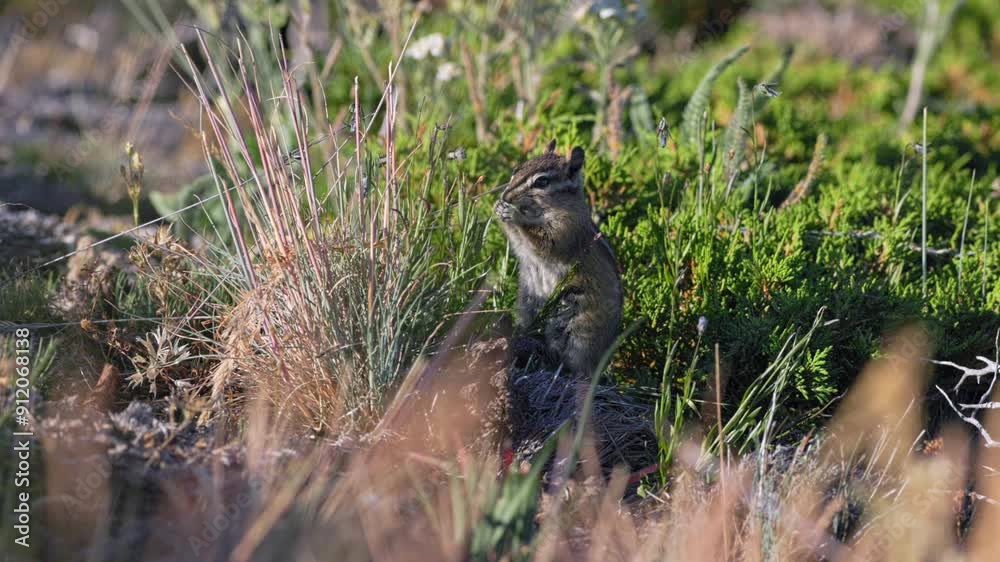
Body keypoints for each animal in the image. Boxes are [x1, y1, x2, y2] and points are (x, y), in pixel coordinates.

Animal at [493, 140, 623, 380]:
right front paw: (499, 208)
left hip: (580, 331)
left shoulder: (565, 231)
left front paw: (515, 215)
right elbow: (517, 242)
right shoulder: (521, 247)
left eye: (542, 181)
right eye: (517, 169)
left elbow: (542, 242)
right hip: (528, 307)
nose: (506, 196)